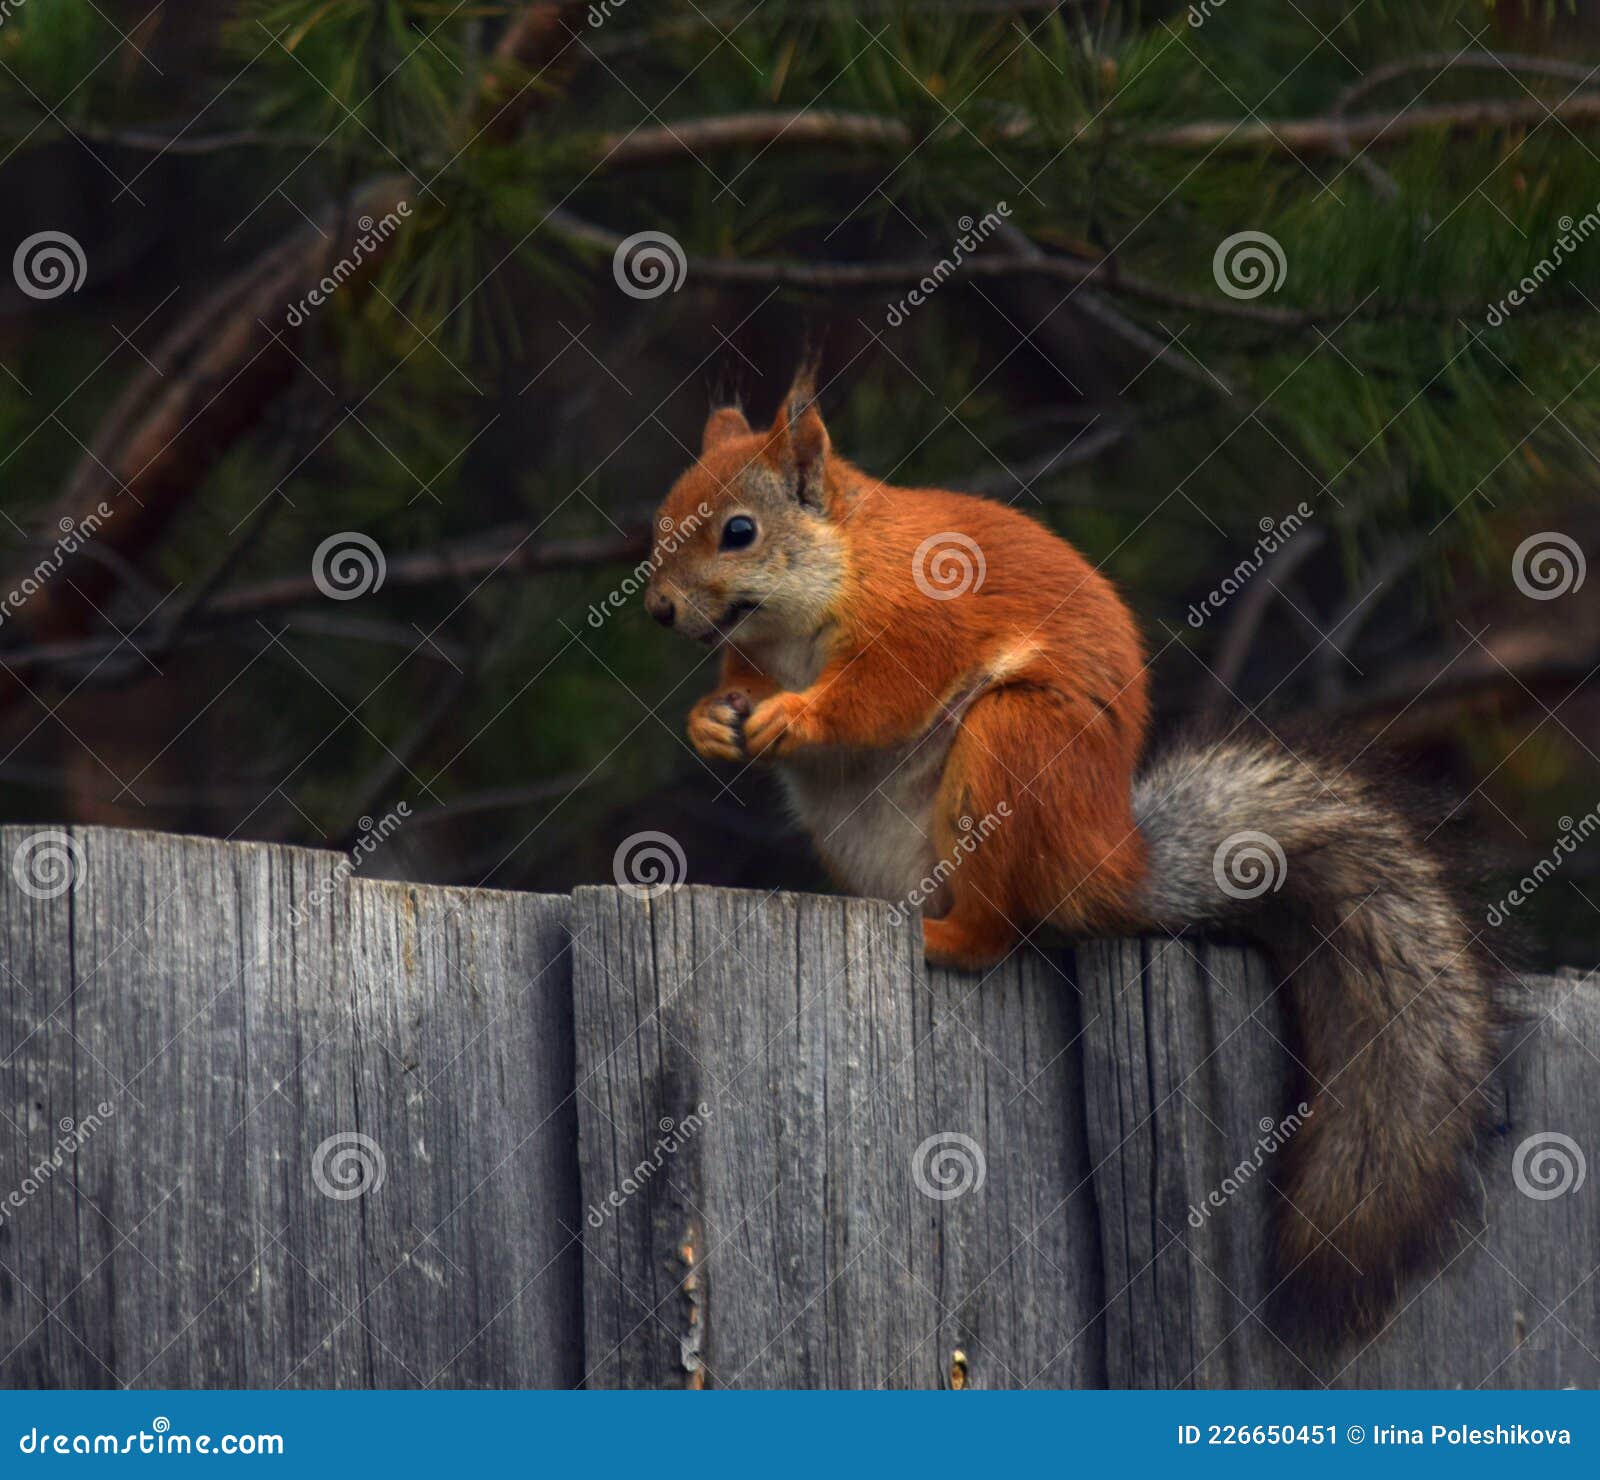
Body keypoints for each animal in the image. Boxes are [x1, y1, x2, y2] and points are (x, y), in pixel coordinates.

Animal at [642, 368, 1507, 1336]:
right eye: (660, 518)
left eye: (739, 531)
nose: (658, 609)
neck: (822, 588)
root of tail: (1107, 860)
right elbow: (741, 688)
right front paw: (713, 722)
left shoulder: (924, 616)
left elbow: (880, 693)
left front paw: (796, 715)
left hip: (1012, 752)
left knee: (999, 932)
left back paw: (941, 938)